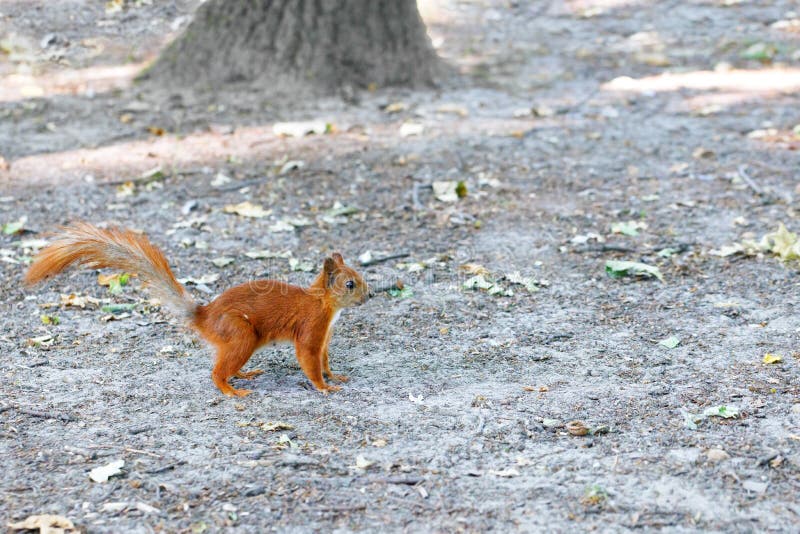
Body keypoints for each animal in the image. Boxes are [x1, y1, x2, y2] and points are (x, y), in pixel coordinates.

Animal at [25, 222, 369, 397]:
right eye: (350, 284)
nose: (371, 294)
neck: (324, 304)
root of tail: (205, 316)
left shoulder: (324, 337)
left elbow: (324, 359)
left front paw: (334, 376)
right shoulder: (311, 328)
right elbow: (309, 360)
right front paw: (324, 387)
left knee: (227, 364)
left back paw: (243, 375)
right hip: (241, 334)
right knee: (216, 372)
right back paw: (231, 391)